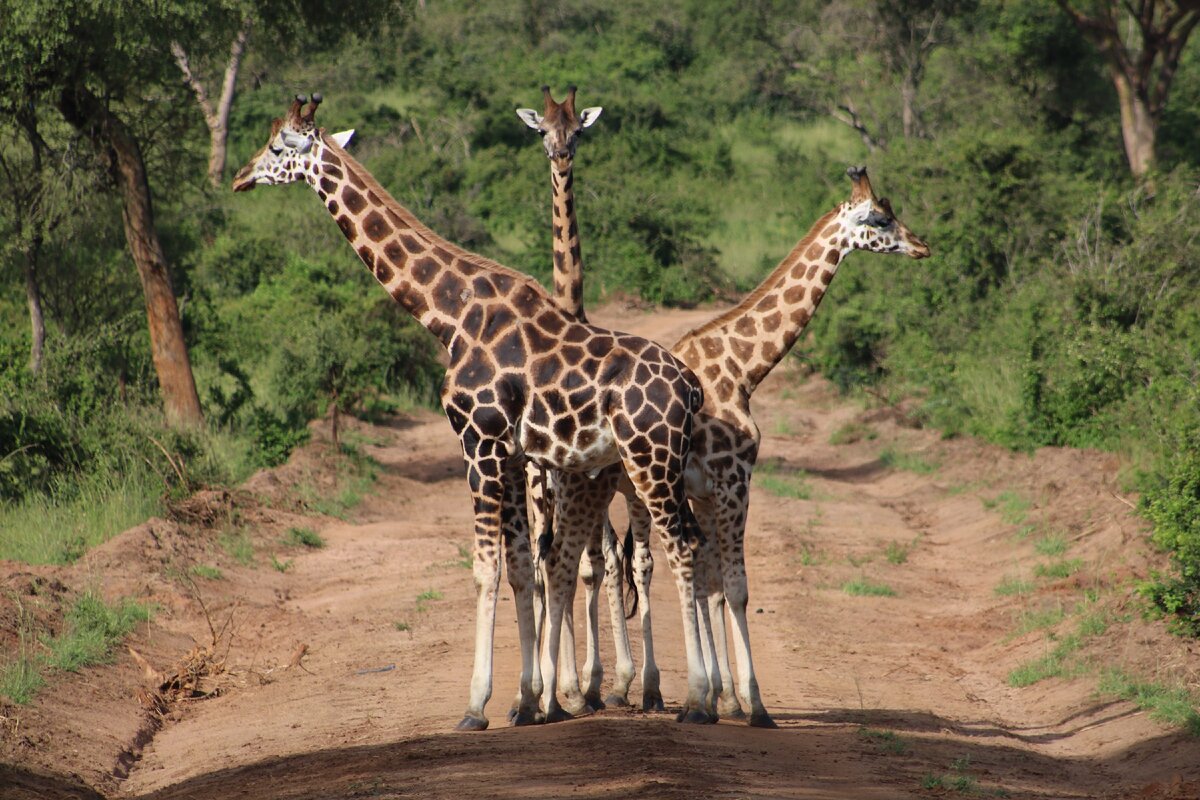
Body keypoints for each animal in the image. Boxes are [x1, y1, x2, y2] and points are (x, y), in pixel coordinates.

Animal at [236, 95, 720, 734]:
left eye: (274, 147)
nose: (239, 178)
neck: (448, 314)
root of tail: (690, 388)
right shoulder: (512, 453)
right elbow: (518, 565)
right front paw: (528, 701)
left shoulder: (479, 442)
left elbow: (486, 567)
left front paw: (477, 705)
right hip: (664, 467)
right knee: (686, 547)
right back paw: (705, 695)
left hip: (650, 462)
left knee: (677, 549)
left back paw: (694, 699)